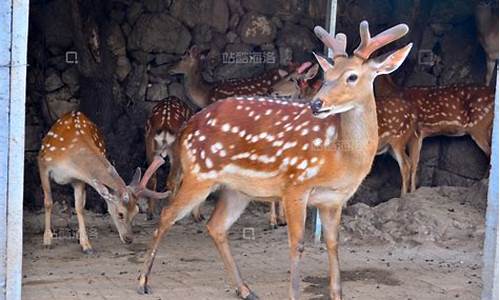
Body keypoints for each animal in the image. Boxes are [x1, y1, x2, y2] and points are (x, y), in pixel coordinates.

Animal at [37, 110, 170, 253]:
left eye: (136, 211)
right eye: (120, 214)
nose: (129, 239)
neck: (69, 159)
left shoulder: (79, 179)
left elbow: (79, 207)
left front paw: (86, 245)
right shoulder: (43, 164)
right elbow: (48, 202)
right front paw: (47, 240)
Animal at [138, 19, 414, 298]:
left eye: (352, 76)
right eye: (326, 77)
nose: (316, 104)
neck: (342, 157)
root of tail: (188, 125)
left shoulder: (333, 200)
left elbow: (333, 244)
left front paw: (336, 293)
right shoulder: (296, 185)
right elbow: (297, 243)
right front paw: (294, 293)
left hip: (237, 189)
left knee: (216, 226)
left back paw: (245, 288)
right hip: (199, 172)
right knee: (168, 214)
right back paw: (142, 281)